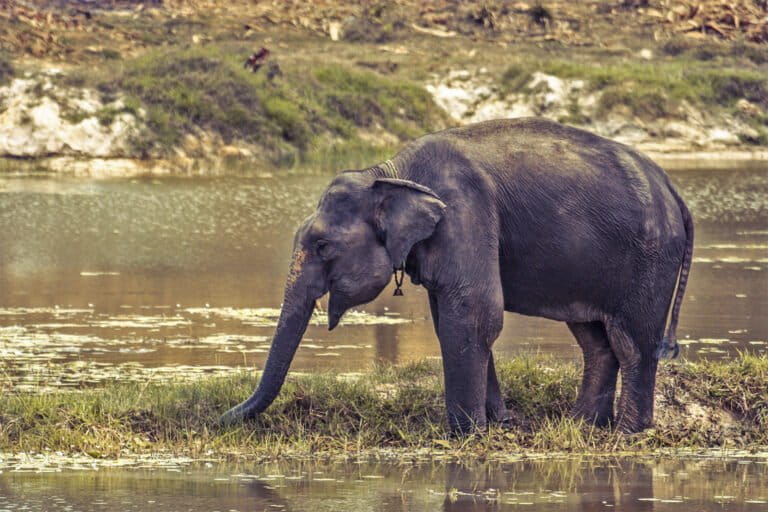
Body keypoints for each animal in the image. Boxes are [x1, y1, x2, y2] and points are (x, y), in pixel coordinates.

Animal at [221, 117, 694, 434]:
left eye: (322, 246)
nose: (220, 418)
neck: (390, 172)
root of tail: (675, 192)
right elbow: (457, 317)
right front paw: (501, 423)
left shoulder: (465, 211)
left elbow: (473, 313)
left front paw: (466, 433)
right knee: (595, 340)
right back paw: (581, 426)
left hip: (651, 261)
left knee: (633, 343)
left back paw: (628, 433)